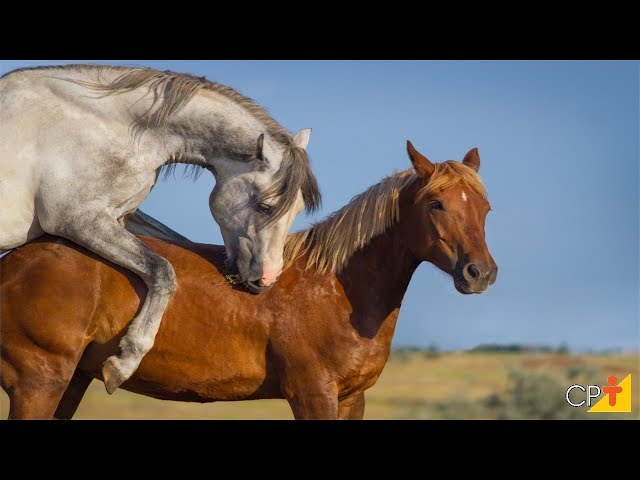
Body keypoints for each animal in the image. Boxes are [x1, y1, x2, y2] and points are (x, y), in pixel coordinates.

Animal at [0, 65, 321, 393]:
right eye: (266, 206)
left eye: (296, 210)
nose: (267, 280)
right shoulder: (76, 218)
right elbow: (163, 270)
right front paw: (124, 362)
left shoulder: (121, 217)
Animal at [0, 141, 497, 419]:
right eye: (436, 204)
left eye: (485, 207)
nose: (481, 273)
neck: (337, 290)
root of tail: (14, 264)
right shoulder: (313, 395)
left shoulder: (352, 399)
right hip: (38, 383)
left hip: (70, 383)